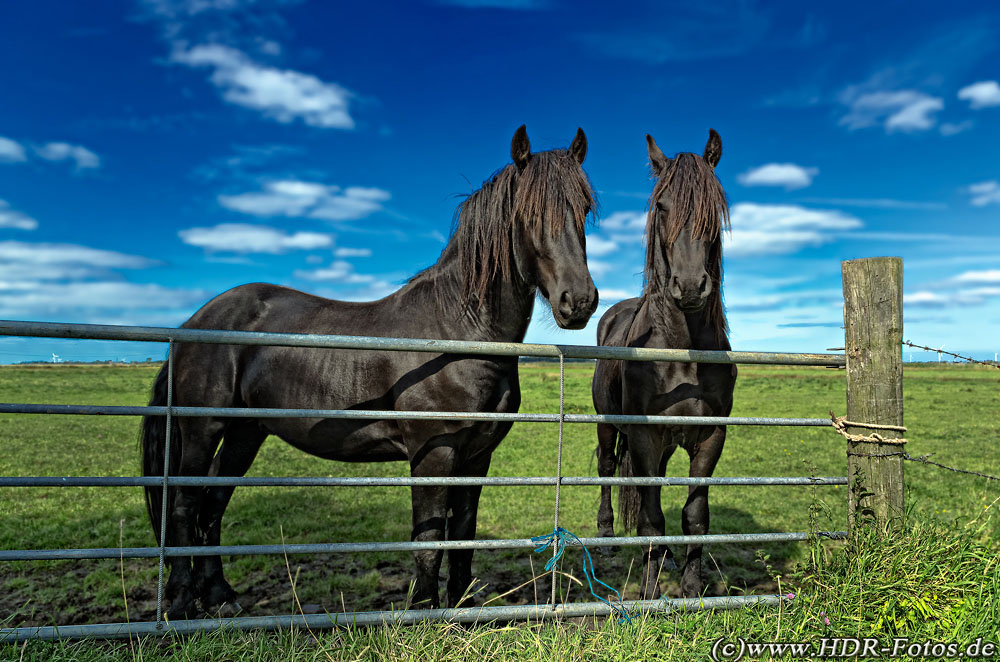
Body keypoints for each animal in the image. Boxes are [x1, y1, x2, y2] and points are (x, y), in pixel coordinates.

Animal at [144, 126, 596, 624]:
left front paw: (459, 610)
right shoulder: (432, 454)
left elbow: (463, 537)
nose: (579, 301)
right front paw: (424, 613)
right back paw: (181, 602)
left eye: (584, 210)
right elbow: (428, 541)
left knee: (212, 504)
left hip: (247, 433)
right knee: (183, 506)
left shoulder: (477, 457)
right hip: (203, 429)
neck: (460, 331)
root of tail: (193, 322)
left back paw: (221, 595)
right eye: (530, 214)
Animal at [592, 130, 736, 600]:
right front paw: (650, 590)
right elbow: (651, 516)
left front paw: (691, 585)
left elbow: (695, 515)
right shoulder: (643, 434)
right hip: (609, 424)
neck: (682, 352)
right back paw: (607, 537)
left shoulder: (710, 436)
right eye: (661, 206)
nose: (690, 286)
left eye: (715, 206)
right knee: (607, 469)